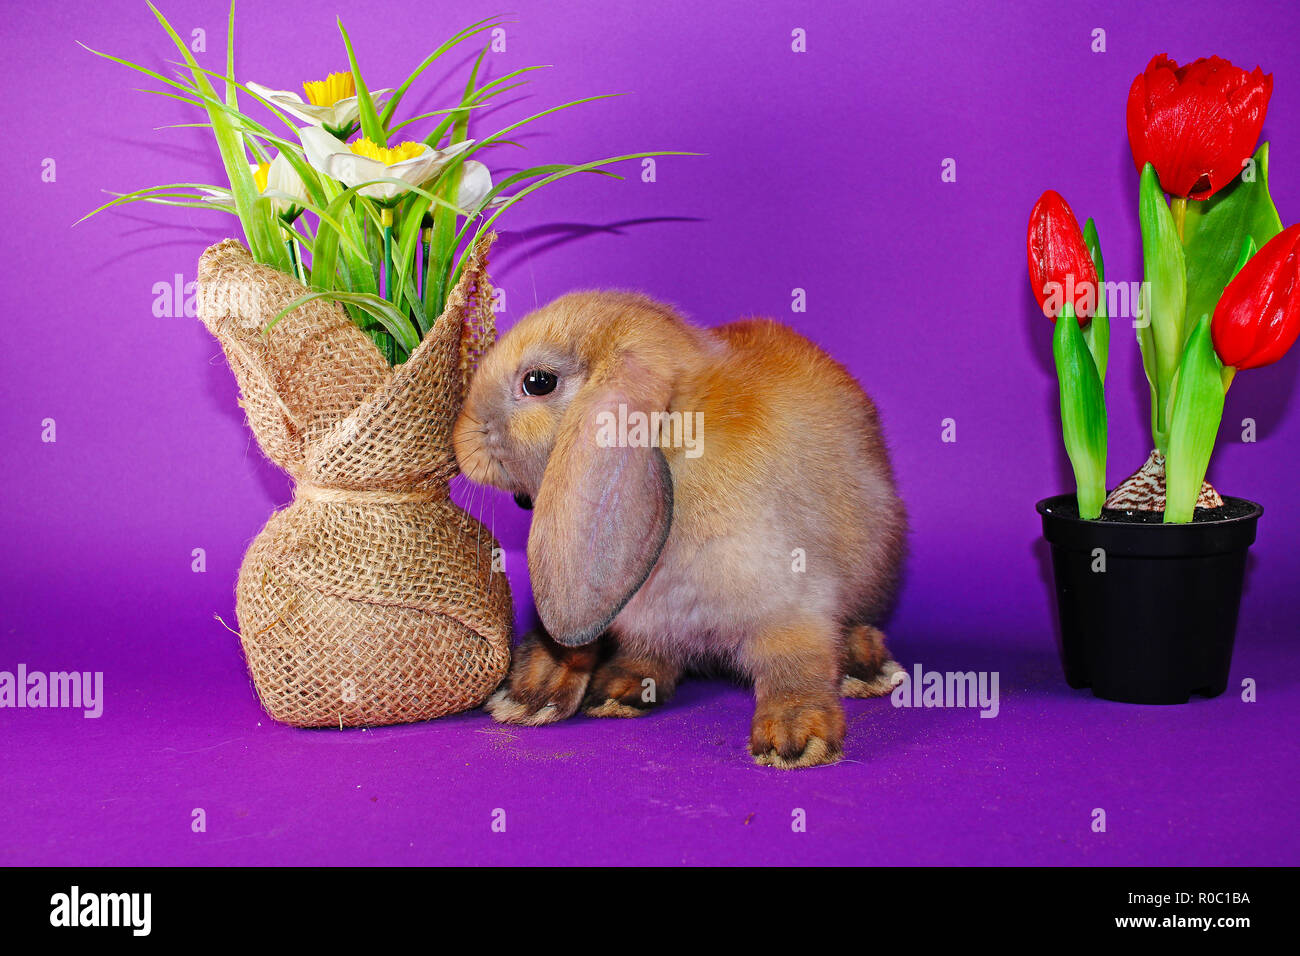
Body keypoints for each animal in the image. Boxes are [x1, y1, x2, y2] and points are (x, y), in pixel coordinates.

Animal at [452, 291, 906, 768]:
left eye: (538, 382)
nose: (460, 439)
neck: (675, 438)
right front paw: (532, 693)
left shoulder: (790, 600)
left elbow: (795, 663)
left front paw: (795, 737)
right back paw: (620, 689)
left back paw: (865, 666)